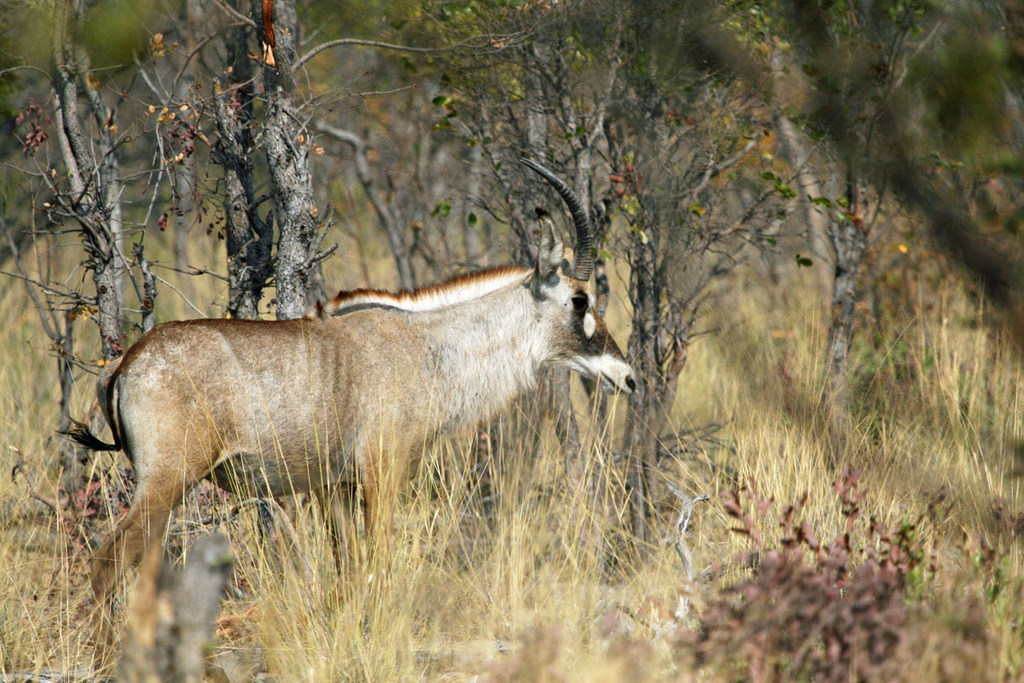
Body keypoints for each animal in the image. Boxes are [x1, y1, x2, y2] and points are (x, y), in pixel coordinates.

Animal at [66, 159, 636, 604]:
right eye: (579, 300)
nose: (627, 377)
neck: (429, 346)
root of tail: (126, 362)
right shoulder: (382, 473)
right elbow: (377, 564)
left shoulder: (335, 487)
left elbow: (348, 573)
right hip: (167, 480)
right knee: (107, 561)